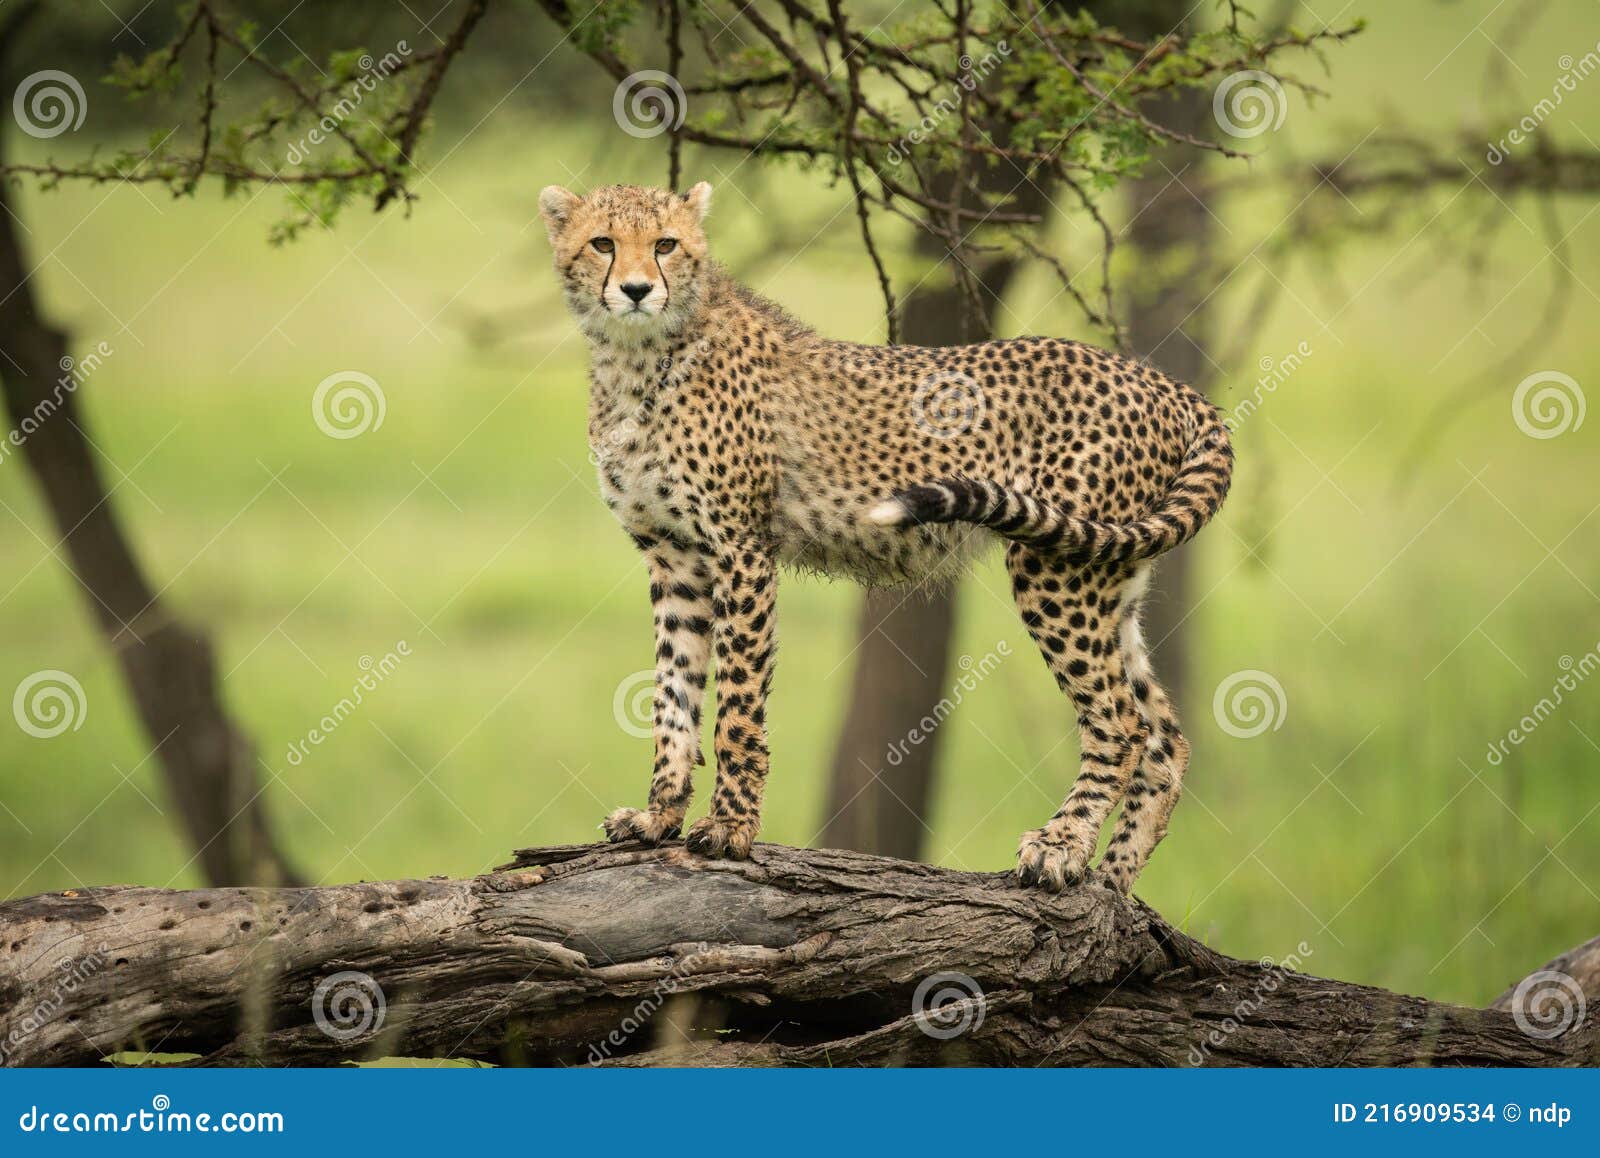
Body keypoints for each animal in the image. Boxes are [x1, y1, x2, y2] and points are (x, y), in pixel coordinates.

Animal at [539, 180, 1233, 894]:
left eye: (666, 244)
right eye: (603, 243)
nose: (637, 289)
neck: (636, 355)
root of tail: (1165, 383)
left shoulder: (741, 551)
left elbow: (736, 701)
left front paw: (730, 828)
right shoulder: (676, 559)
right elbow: (673, 693)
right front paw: (658, 817)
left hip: (1055, 568)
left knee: (1121, 722)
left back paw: (1061, 845)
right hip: (1111, 574)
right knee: (1166, 738)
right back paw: (1112, 881)